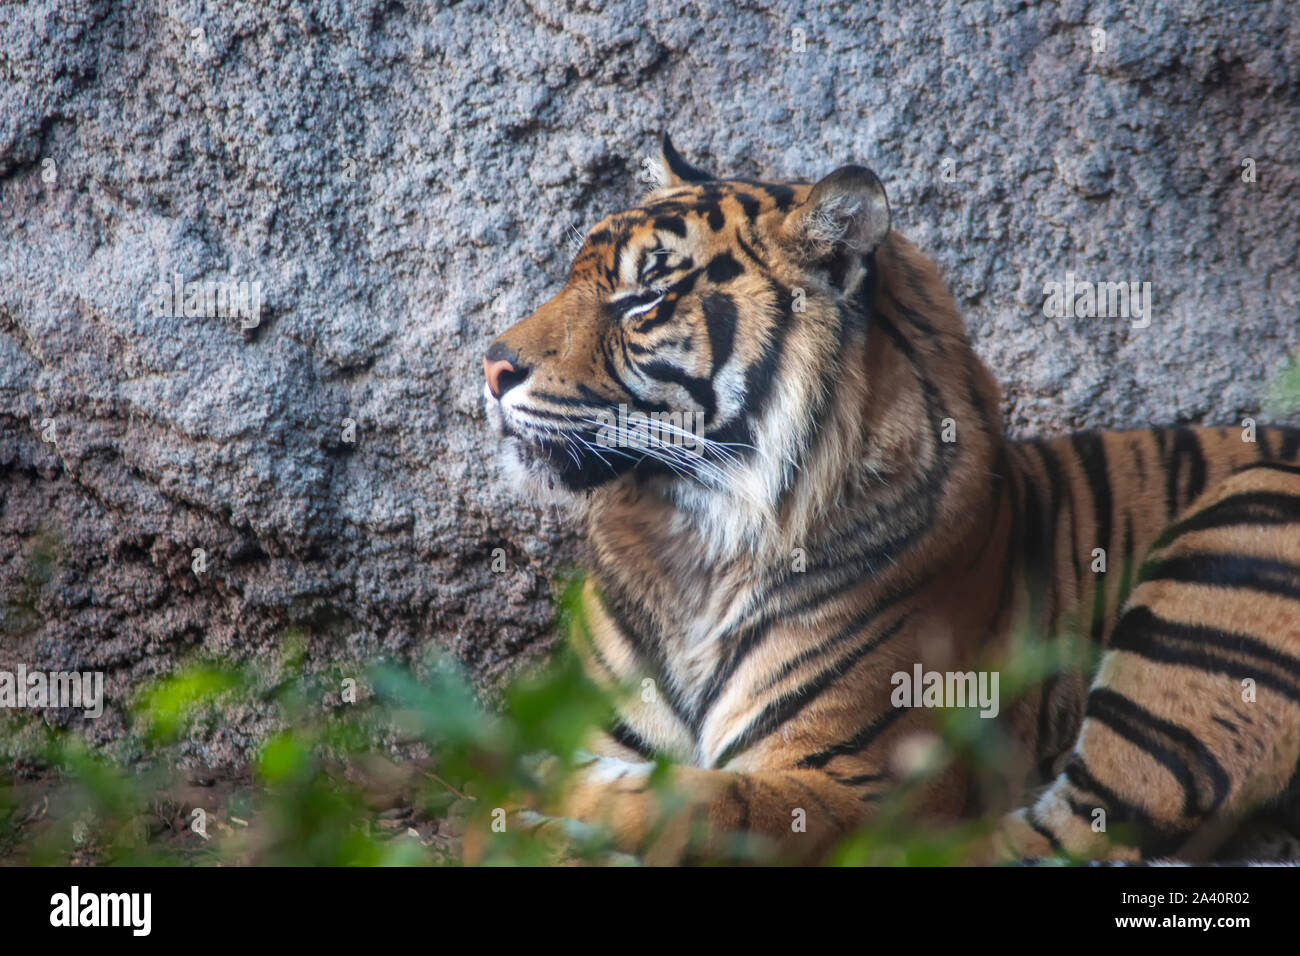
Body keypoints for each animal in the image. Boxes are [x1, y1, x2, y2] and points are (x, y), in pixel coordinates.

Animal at [481, 133, 1300, 865]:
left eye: (645, 298)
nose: (490, 367)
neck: (687, 541)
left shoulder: (859, 786)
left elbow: (705, 805)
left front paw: (551, 795)